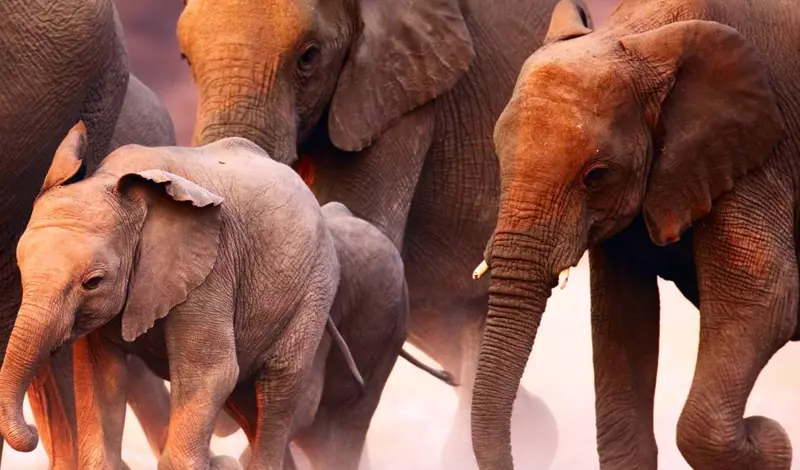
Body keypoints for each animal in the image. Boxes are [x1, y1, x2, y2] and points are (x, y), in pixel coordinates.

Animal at [472, 0, 800, 470]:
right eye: (498, 157)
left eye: (596, 175)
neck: (643, 34)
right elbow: (623, 320)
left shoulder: (757, 153)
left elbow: (764, 298)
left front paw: (769, 441)